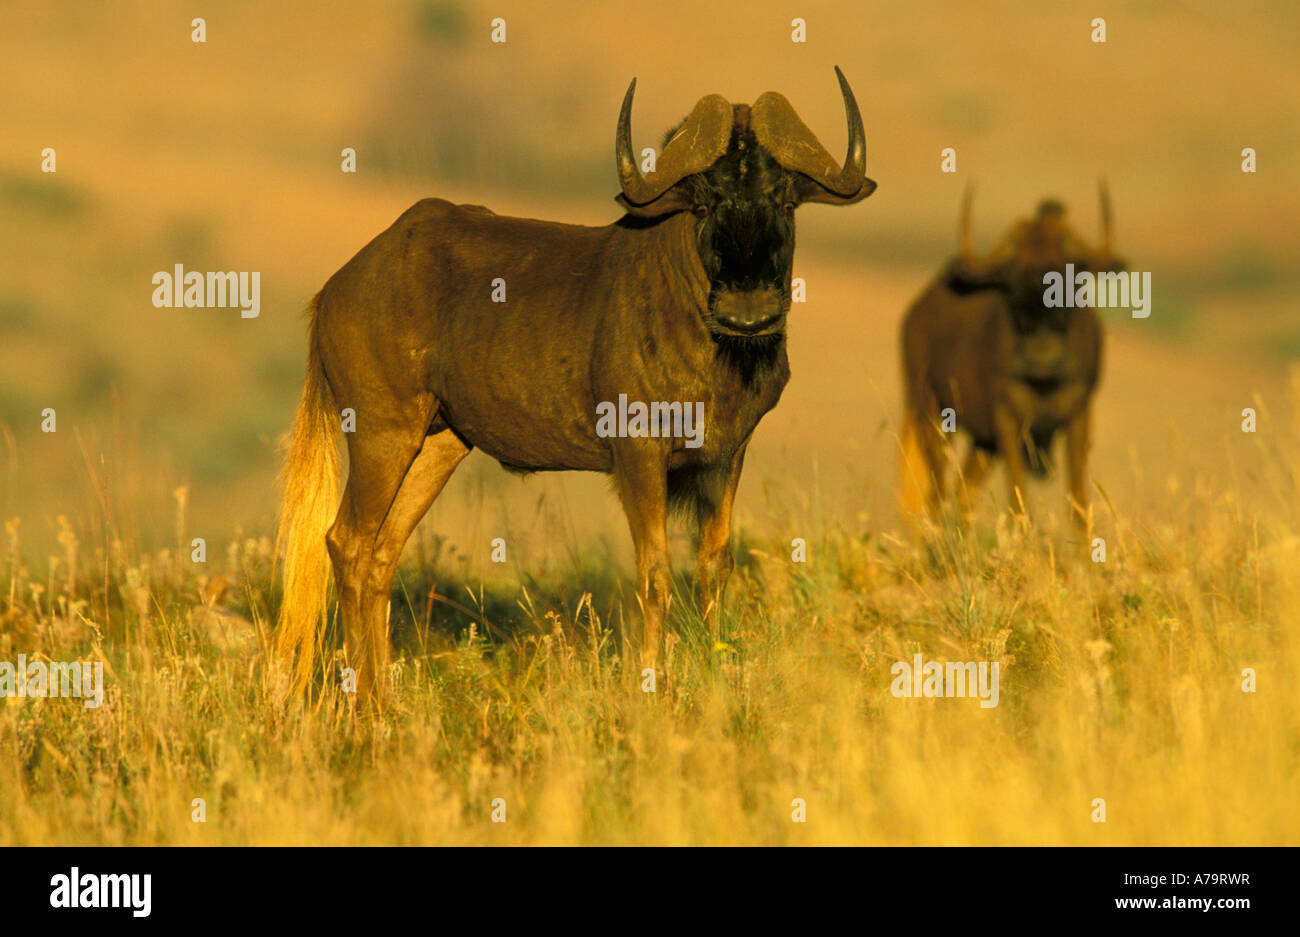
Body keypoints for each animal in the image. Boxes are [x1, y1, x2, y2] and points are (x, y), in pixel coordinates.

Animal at [275, 68, 876, 699]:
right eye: (703, 201)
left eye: (784, 198)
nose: (748, 310)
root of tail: (335, 288)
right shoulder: (638, 452)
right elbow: (654, 572)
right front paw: (650, 683)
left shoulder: (727, 456)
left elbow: (714, 568)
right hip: (381, 434)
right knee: (347, 543)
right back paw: (367, 701)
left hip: (437, 444)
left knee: (381, 553)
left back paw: (387, 696)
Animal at [898, 186, 1122, 528]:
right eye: (1013, 284)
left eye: (1071, 276)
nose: (1041, 355)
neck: (1043, 384)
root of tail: (916, 314)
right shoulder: (1007, 421)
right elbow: (1019, 500)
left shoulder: (1079, 417)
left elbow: (1078, 503)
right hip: (930, 413)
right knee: (937, 493)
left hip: (982, 444)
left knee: (963, 495)